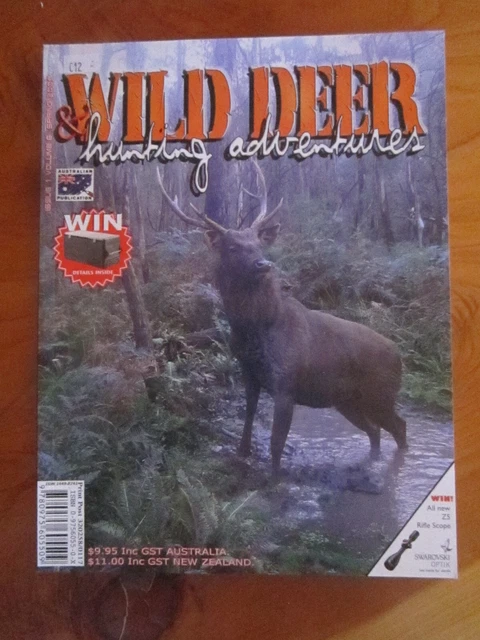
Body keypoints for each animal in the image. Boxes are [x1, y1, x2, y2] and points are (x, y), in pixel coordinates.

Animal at [156, 164, 407, 478]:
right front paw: (243, 454)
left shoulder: (286, 381)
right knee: (375, 432)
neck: (257, 332)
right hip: (348, 401)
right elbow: (249, 418)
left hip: (381, 394)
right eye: (232, 247)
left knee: (400, 428)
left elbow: (277, 442)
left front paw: (274, 477)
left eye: (258, 244)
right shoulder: (250, 374)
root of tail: (400, 356)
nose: (263, 264)